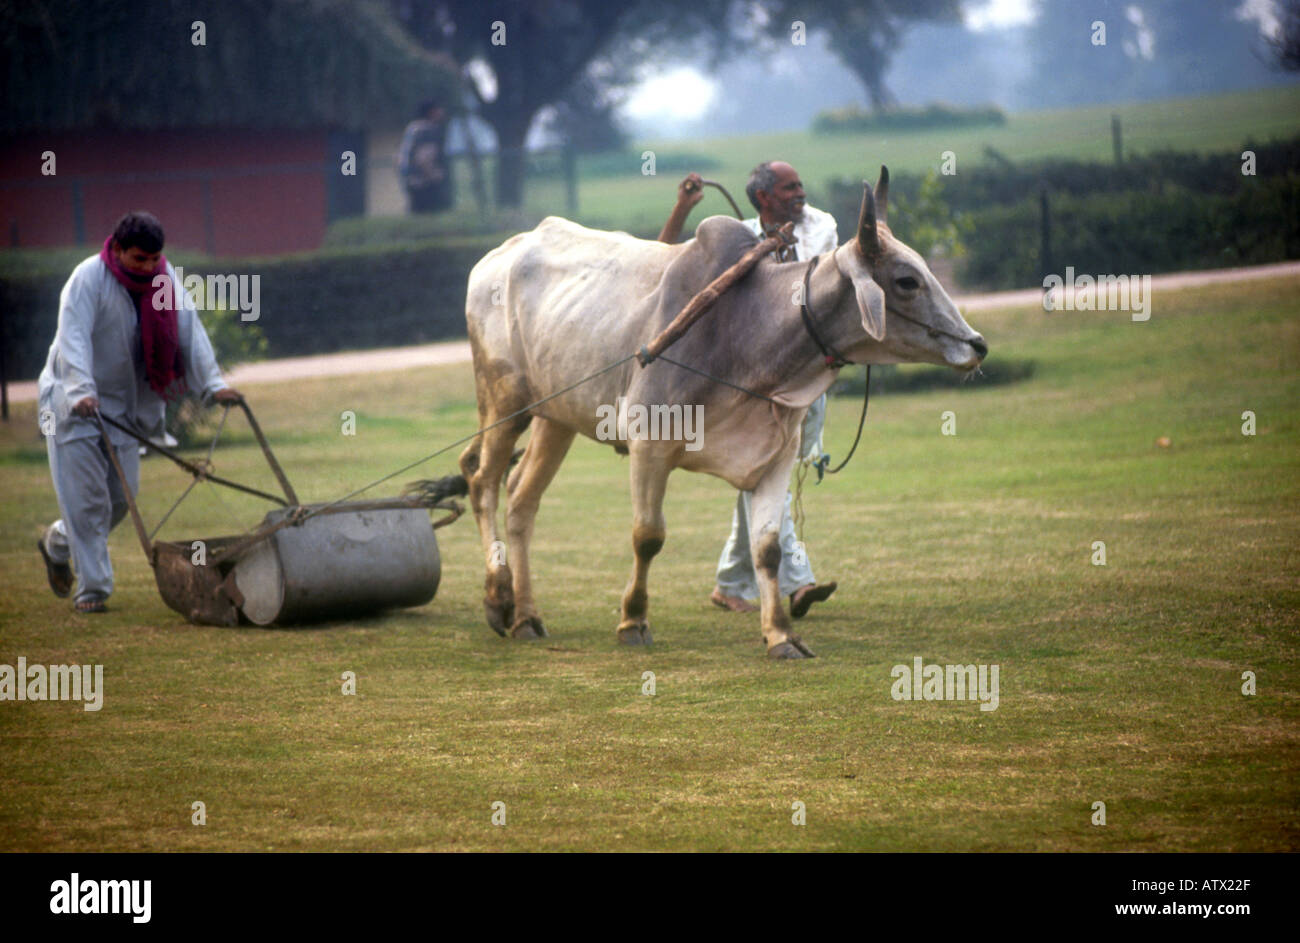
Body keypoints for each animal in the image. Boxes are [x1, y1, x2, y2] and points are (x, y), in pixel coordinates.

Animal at [456, 166, 987, 659]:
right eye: (906, 280)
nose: (977, 345)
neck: (746, 331)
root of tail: (497, 256)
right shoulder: (649, 445)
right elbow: (648, 536)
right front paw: (633, 622)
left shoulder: (775, 457)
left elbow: (768, 549)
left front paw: (781, 636)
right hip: (504, 400)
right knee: (482, 480)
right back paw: (498, 598)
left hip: (556, 417)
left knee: (521, 497)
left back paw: (526, 615)